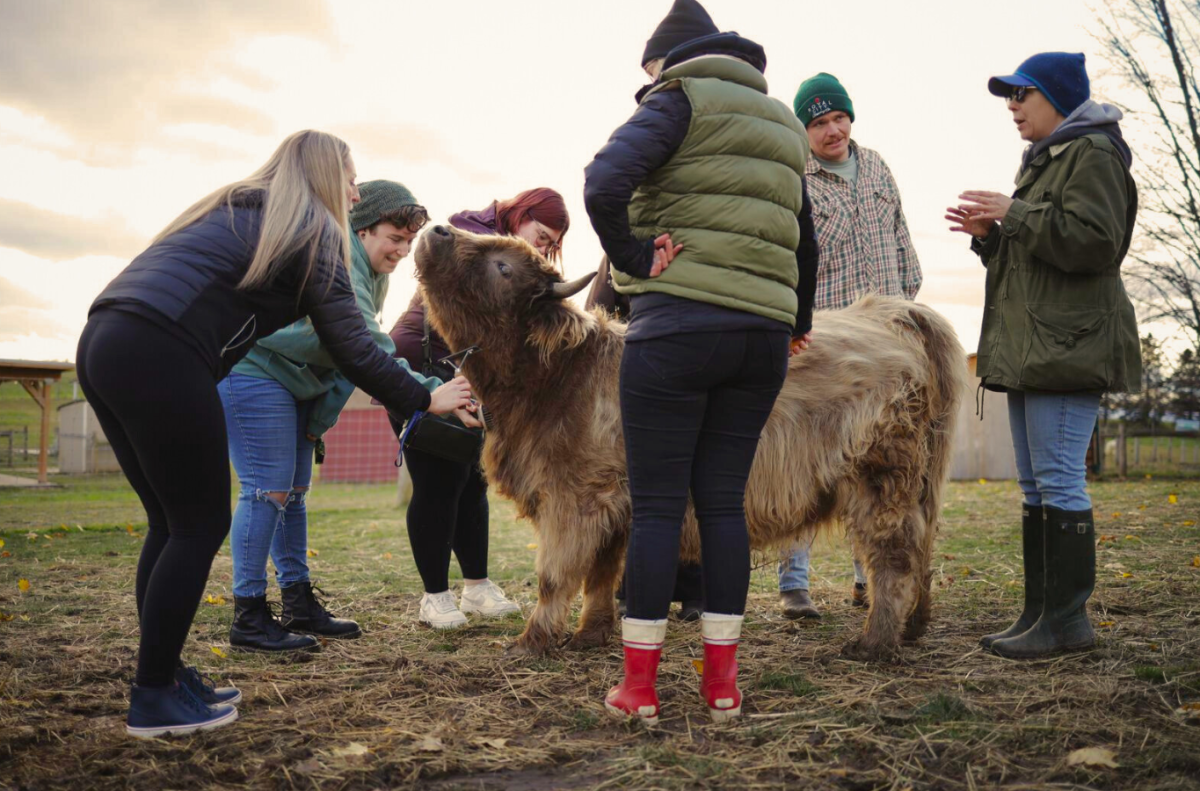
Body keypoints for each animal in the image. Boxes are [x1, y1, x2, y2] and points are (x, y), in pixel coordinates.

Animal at [412, 224, 966, 661]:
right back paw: (914, 627)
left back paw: (875, 642)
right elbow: (601, 574)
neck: (551, 376)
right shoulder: (614, 502)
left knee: (894, 553)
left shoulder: (574, 497)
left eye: (502, 266)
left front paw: (531, 641)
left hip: (880, 474)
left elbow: (556, 573)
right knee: (922, 543)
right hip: (917, 478)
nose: (436, 229)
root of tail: (891, 313)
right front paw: (591, 634)